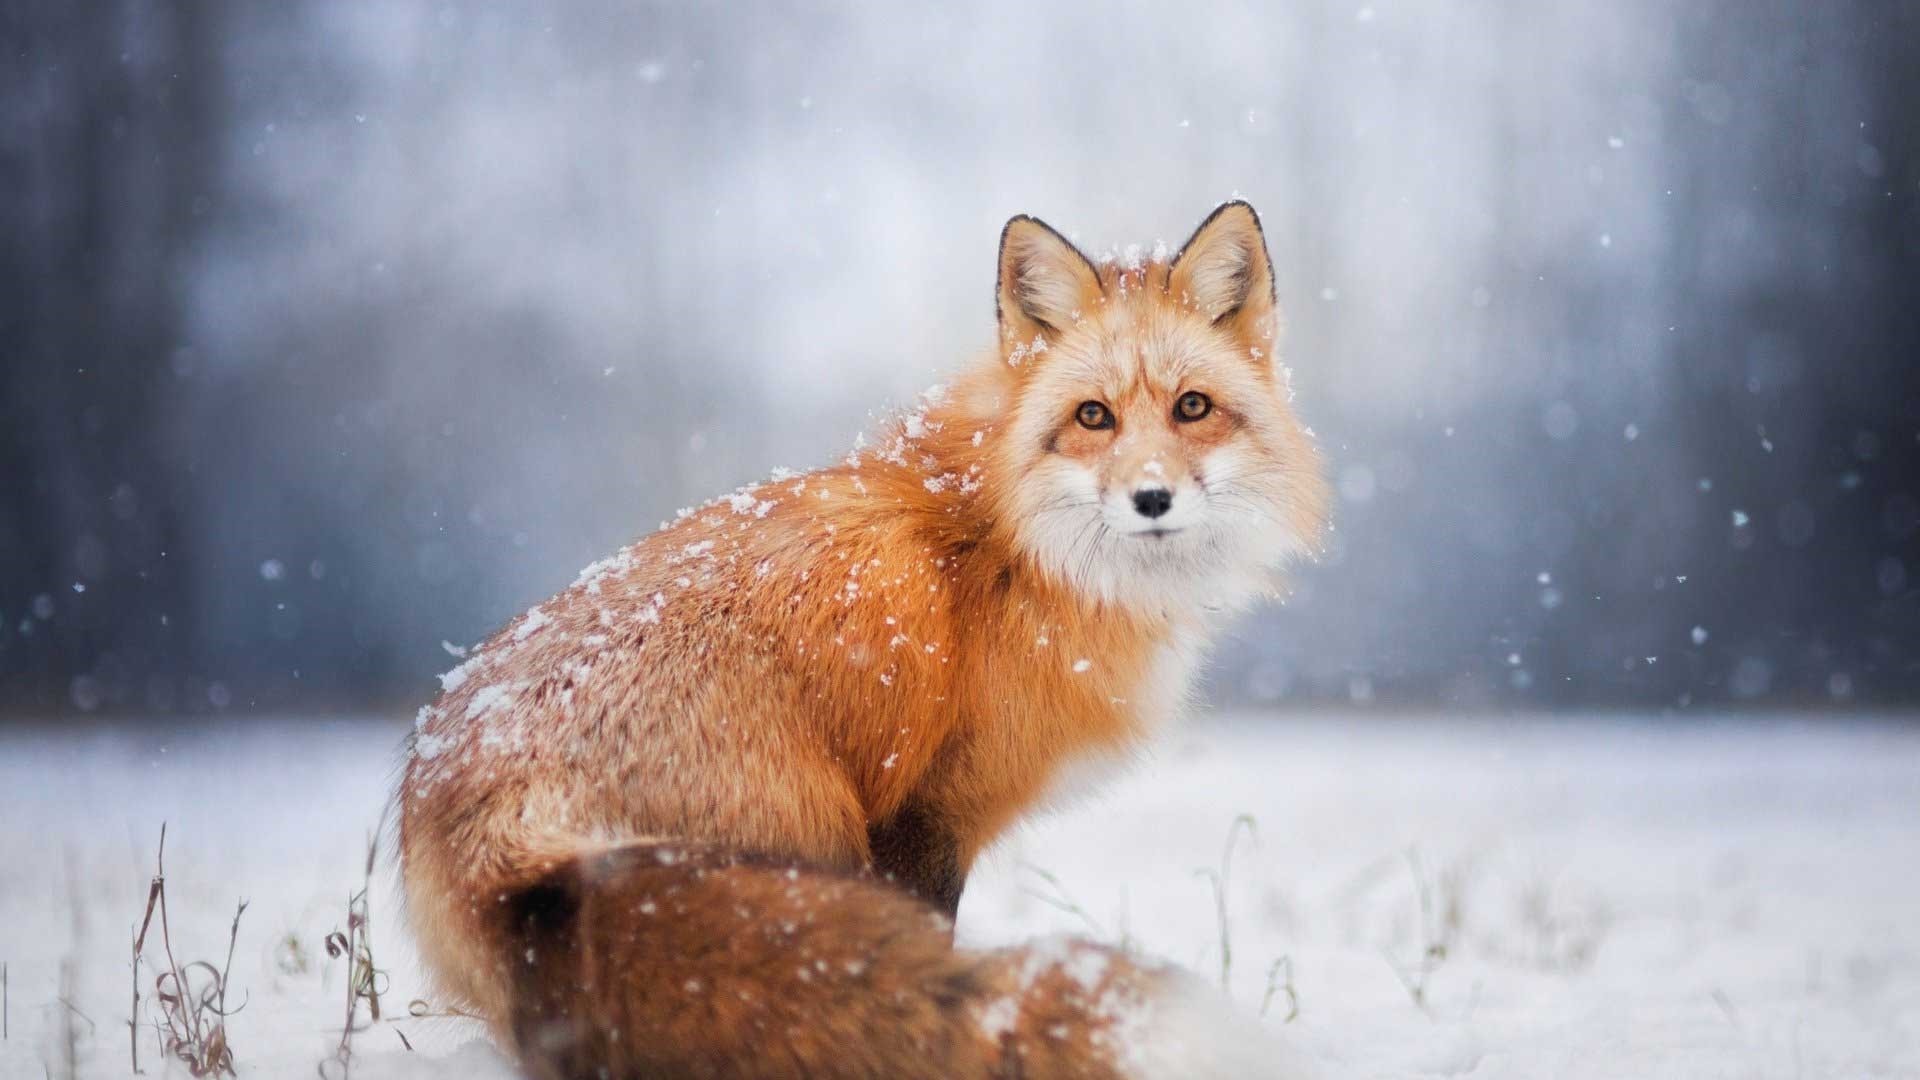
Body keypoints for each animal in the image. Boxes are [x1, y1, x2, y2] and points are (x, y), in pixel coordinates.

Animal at [398, 200, 1331, 1079]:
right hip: (813, 837)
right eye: (1093, 416)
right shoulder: (926, 814)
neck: (1007, 543)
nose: (1151, 498)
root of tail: (488, 832)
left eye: (1192, 407)